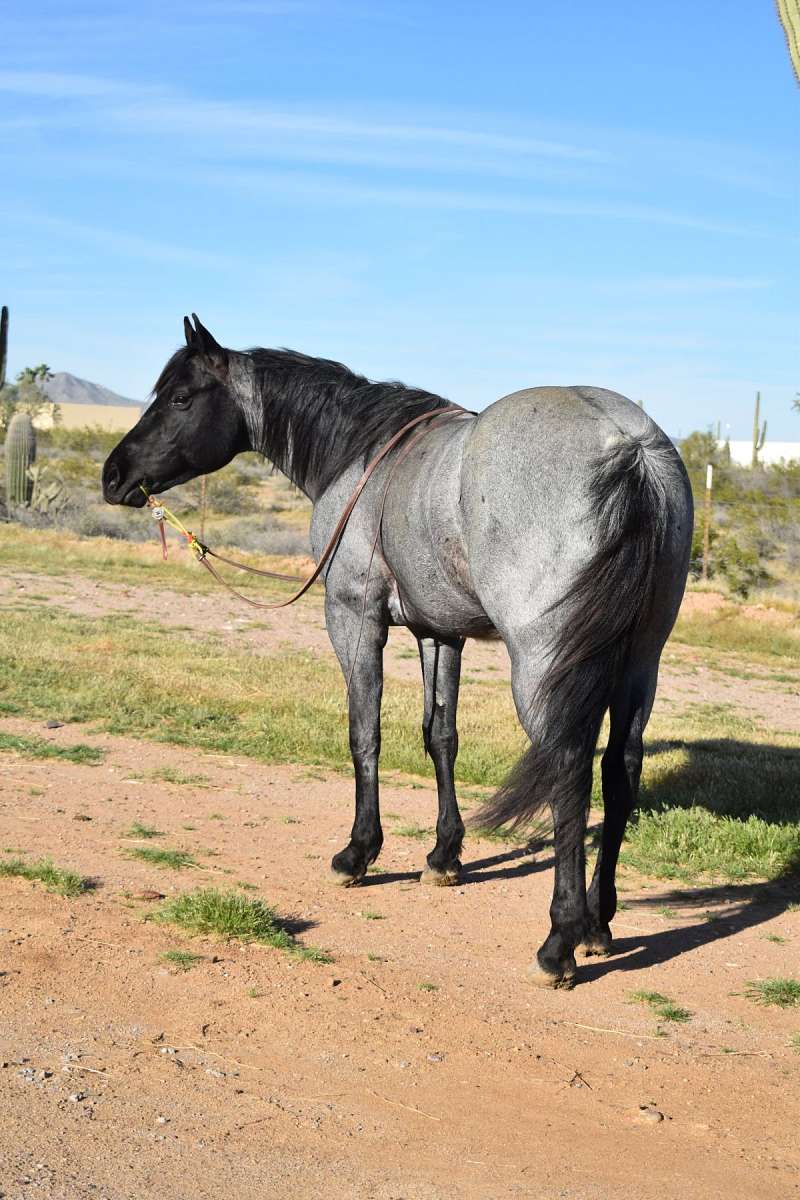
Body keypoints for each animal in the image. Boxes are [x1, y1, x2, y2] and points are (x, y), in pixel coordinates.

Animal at [103, 314, 693, 988]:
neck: (360, 456)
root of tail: (629, 448)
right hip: (639, 662)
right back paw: (598, 922)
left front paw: (359, 852)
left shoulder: (354, 620)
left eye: (180, 398)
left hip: (544, 666)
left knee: (568, 767)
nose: (112, 475)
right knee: (620, 770)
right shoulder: (440, 633)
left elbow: (366, 733)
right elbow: (441, 736)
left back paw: (560, 940)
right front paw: (444, 855)